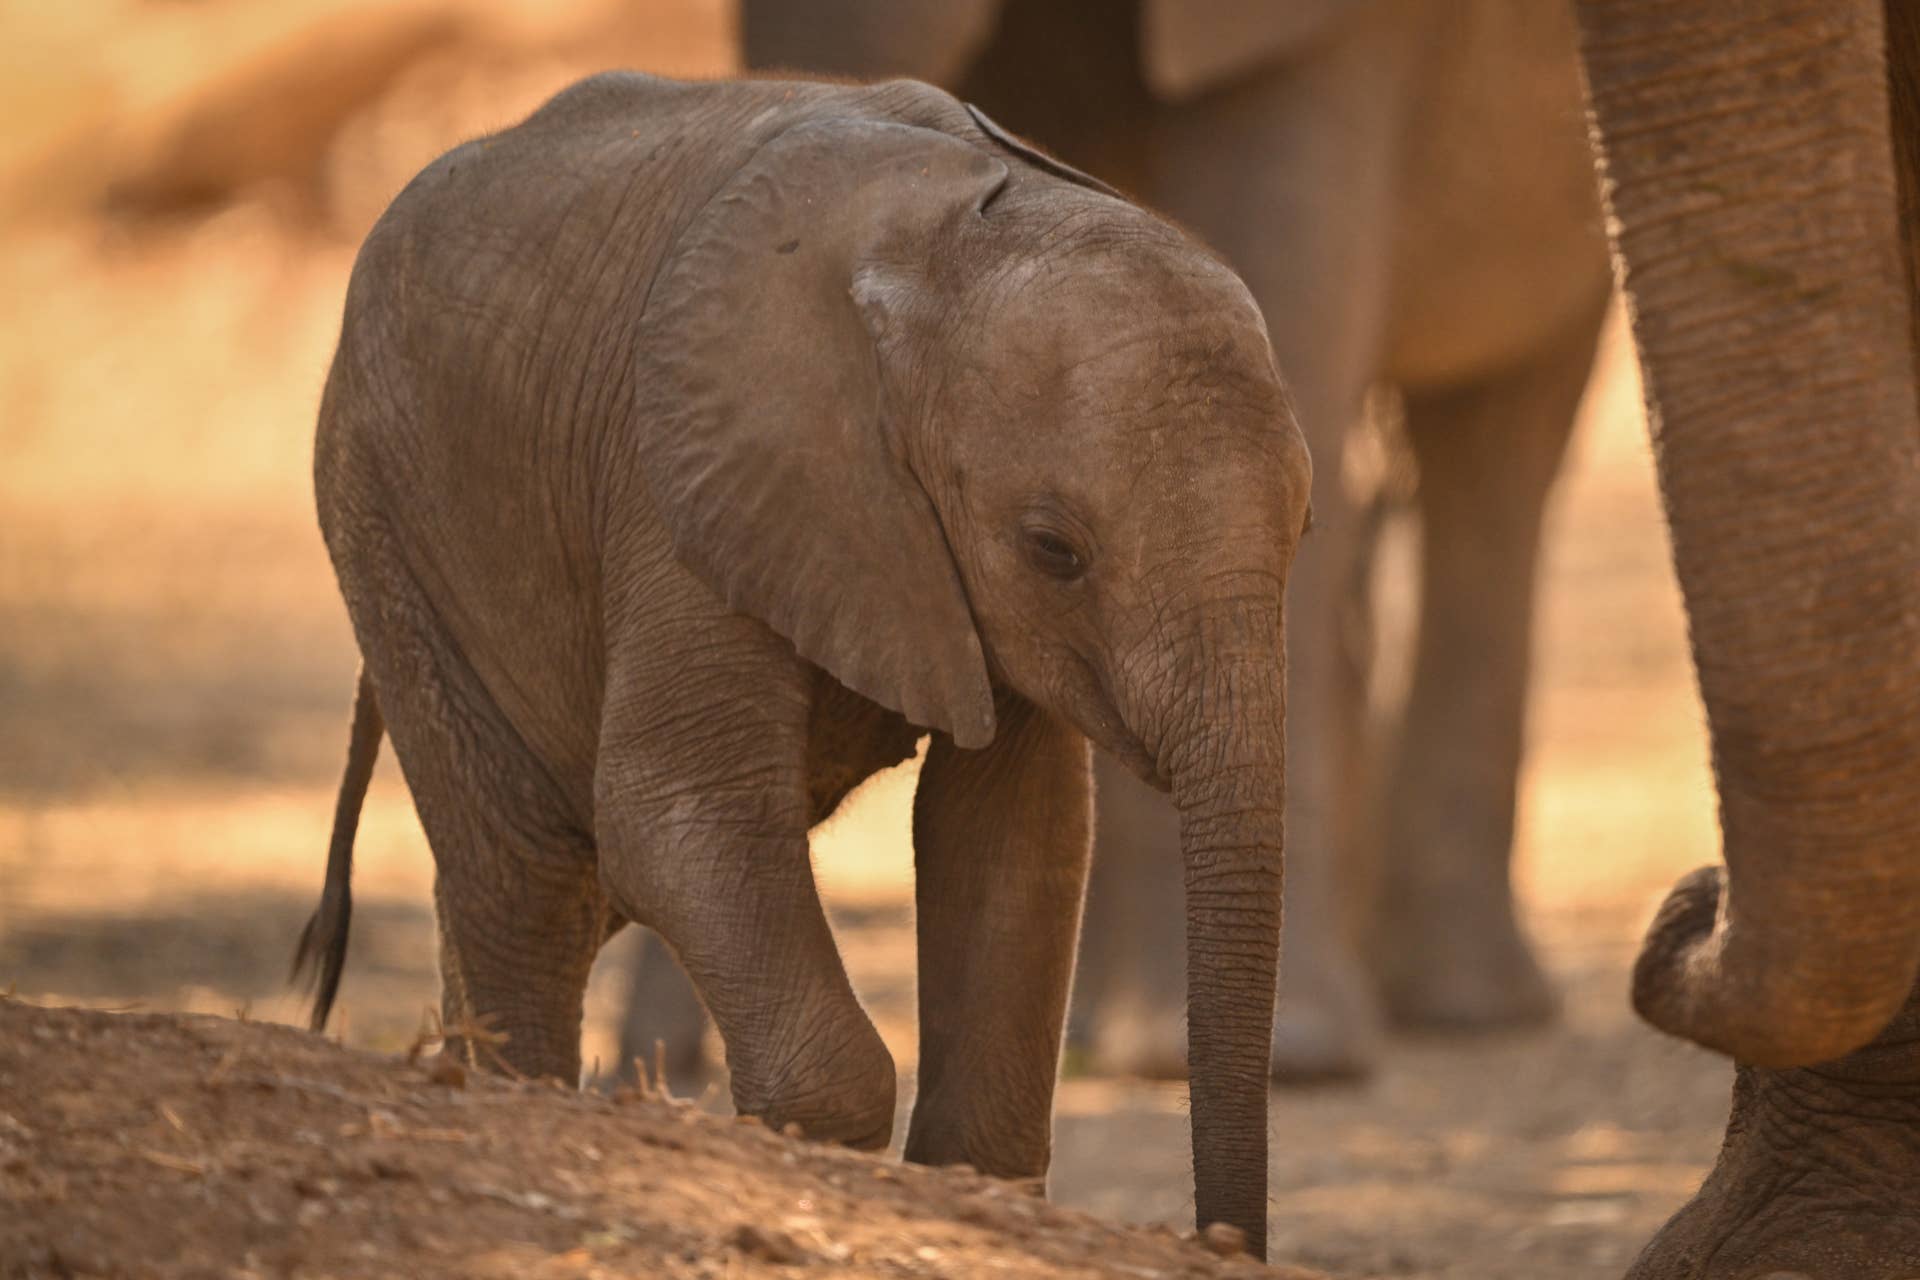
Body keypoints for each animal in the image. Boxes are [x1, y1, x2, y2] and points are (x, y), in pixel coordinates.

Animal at [293, 73, 1311, 1252]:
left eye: (1305, 527)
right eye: (1054, 549)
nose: (1224, 1242)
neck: (945, 258)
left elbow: (1014, 831)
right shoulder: (687, 482)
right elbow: (674, 814)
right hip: (383, 512)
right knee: (530, 874)